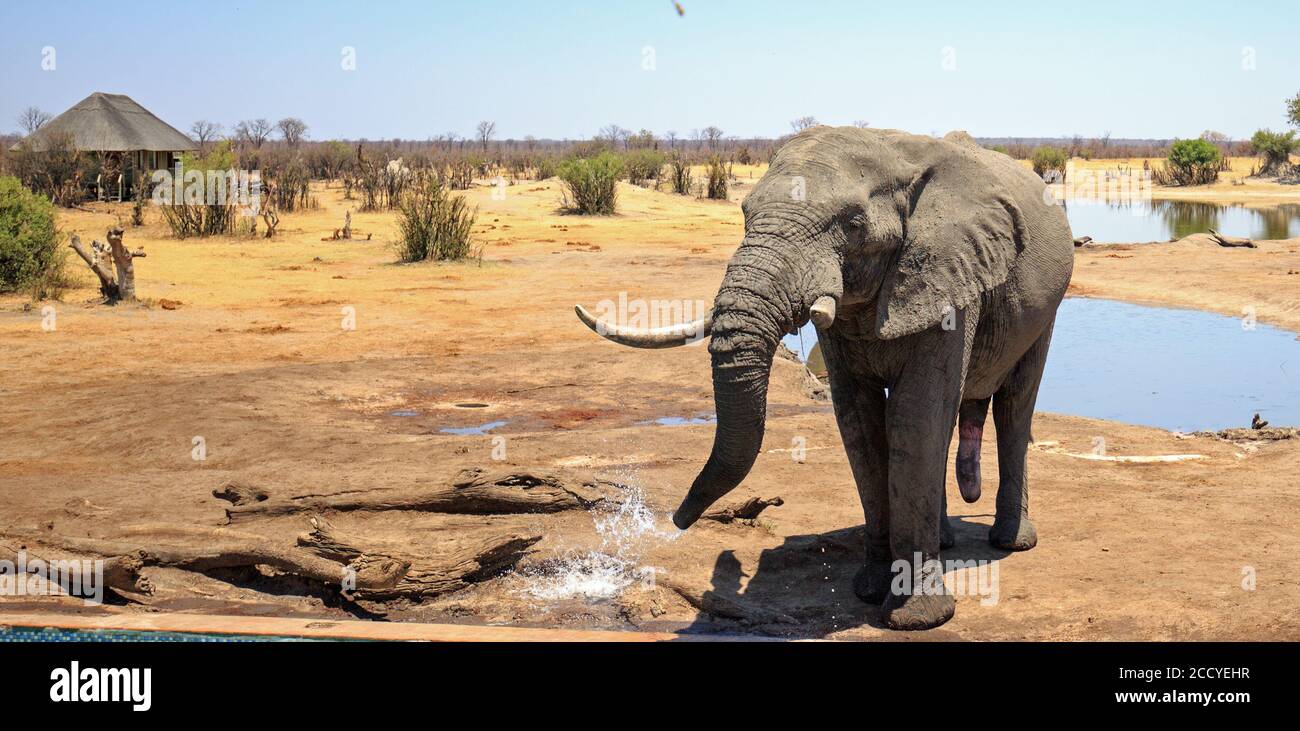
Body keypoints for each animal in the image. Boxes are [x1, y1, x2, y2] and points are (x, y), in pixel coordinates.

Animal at [575, 126, 1073, 630]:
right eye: (745, 214)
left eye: (853, 224)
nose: (675, 521)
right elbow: (860, 423)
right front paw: (870, 590)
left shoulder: (948, 276)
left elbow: (914, 420)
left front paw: (918, 617)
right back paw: (947, 540)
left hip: (1047, 305)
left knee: (1015, 408)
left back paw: (1011, 541)